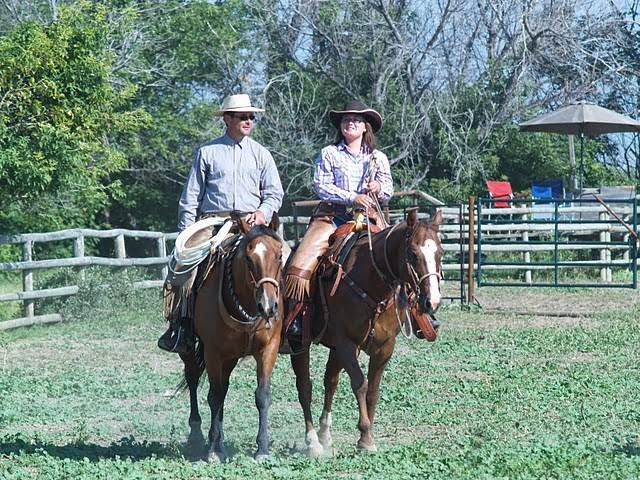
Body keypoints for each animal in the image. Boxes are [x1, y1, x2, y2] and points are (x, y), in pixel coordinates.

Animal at [179, 221, 284, 462]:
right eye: (248, 258)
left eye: (279, 255)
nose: (268, 306)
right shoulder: (213, 353)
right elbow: (214, 397)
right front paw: (213, 451)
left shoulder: (268, 350)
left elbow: (262, 395)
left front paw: (262, 449)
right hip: (193, 349)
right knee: (193, 378)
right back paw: (198, 436)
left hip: (230, 358)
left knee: (223, 389)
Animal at [291, 208, 443, 456]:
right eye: (412, 254)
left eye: (440, 252)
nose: (433, 302)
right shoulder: (346, 343)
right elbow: (360, 384)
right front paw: (365, 437)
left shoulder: (384, 347)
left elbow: (373, 390)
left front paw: (368, 434)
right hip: (300, 344)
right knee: (305, 387)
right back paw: (313, 442)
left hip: (335, 350)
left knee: (330, 381)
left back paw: (325, 434)